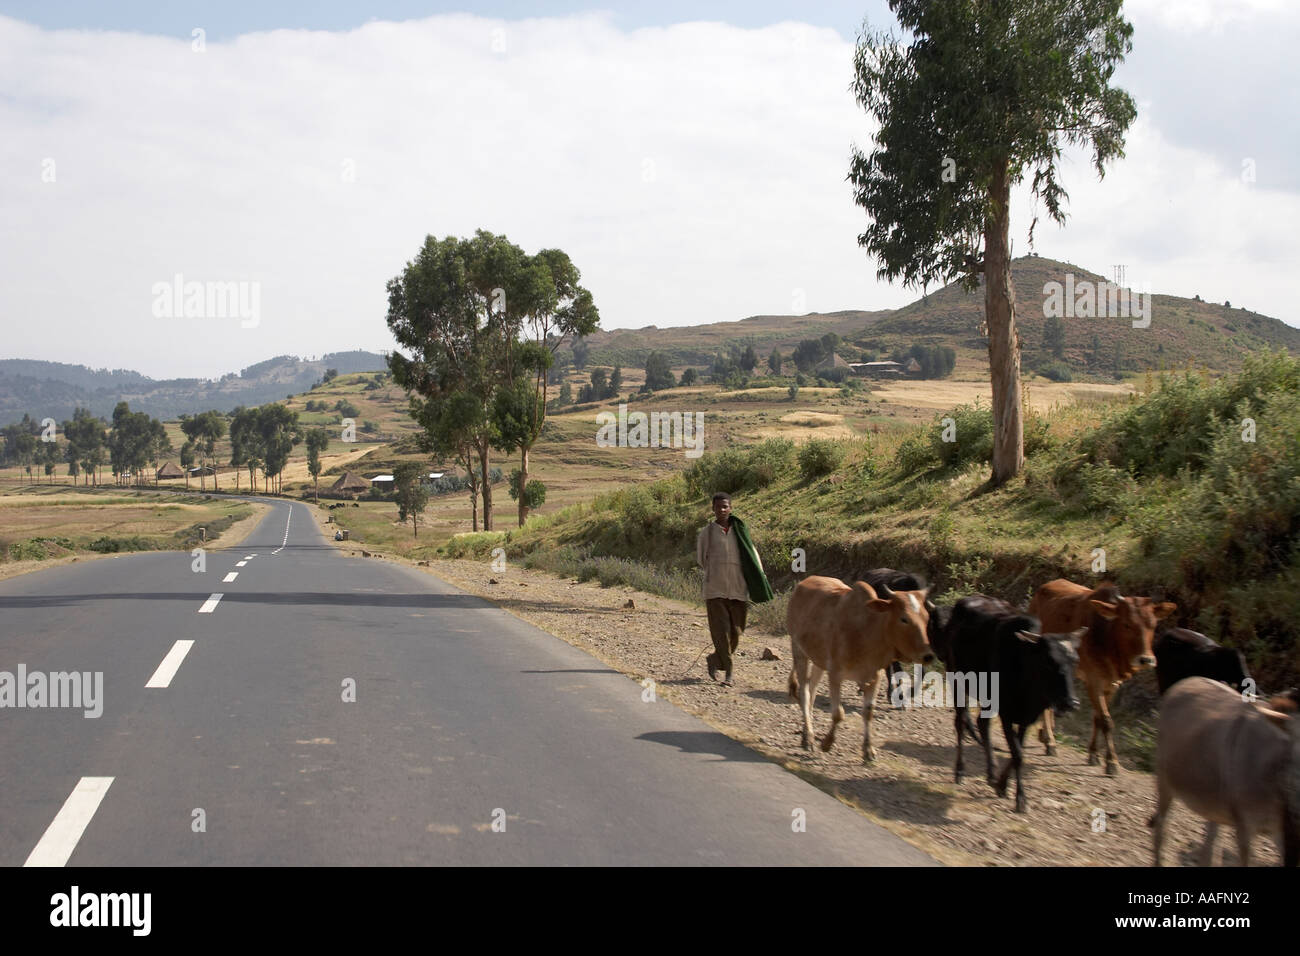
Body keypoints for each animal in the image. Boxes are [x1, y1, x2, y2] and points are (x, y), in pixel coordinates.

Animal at [786, 575, 933, 762]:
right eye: (904, 618)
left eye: (926, 617)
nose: (928, 655)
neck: (868, 630)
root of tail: (805, 581)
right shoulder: (835, 674)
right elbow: (838, 714)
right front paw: (827, 743)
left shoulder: (874, 677)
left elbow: (868, 713)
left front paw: (868, 750)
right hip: (799, 651)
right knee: (804, 693)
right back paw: (809, 739)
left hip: (818, 661)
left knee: (811, 691)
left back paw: (806, 734)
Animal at [942, 594, 1085, 811]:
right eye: (1048, 661)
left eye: (1074, 661)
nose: (1071, 702)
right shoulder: (1007, 714)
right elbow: (1017, 754)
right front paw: (1020, 798)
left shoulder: (1027, 717)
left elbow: (1018, 751)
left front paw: (1002, 784)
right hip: (956, 678)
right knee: (960, 723)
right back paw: (960, 771)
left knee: (982, 723)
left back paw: (991, 773)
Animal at [1030, 579, 1175, 775]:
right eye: (1127, 624)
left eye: (1153, 624)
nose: (1146, 659)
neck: (1107, 635)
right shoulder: (1094, 682)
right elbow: (1106, 721)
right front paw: (1112, 762)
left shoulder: (1112, 685)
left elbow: (1097, 719)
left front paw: (1094, 754)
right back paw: (1050, 741)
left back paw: (1045, 735)